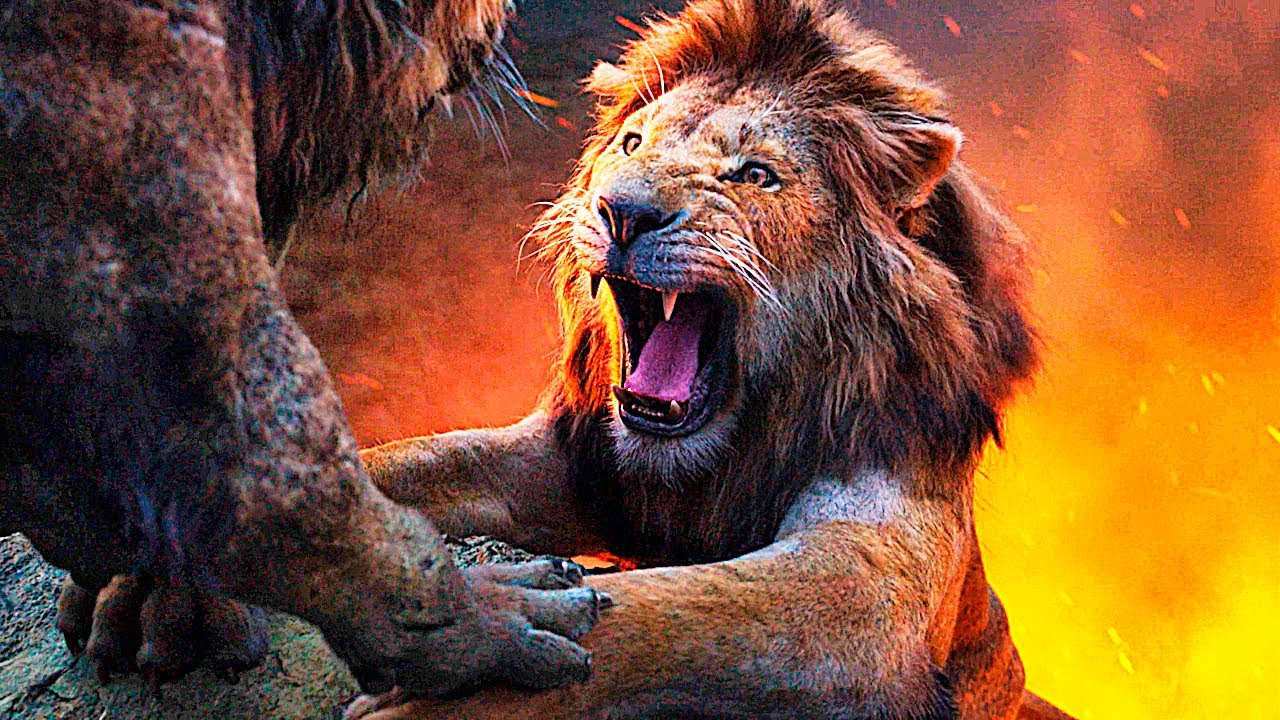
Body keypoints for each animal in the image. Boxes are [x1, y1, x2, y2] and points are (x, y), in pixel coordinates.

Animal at [343, 0, 1075, 717]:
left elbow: (674, 612)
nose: (623, 211)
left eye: (754, 174)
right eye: (632, 144)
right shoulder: (570, 462)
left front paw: (487, 645)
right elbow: (409, 463)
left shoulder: (868, 571)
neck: (723, 452)